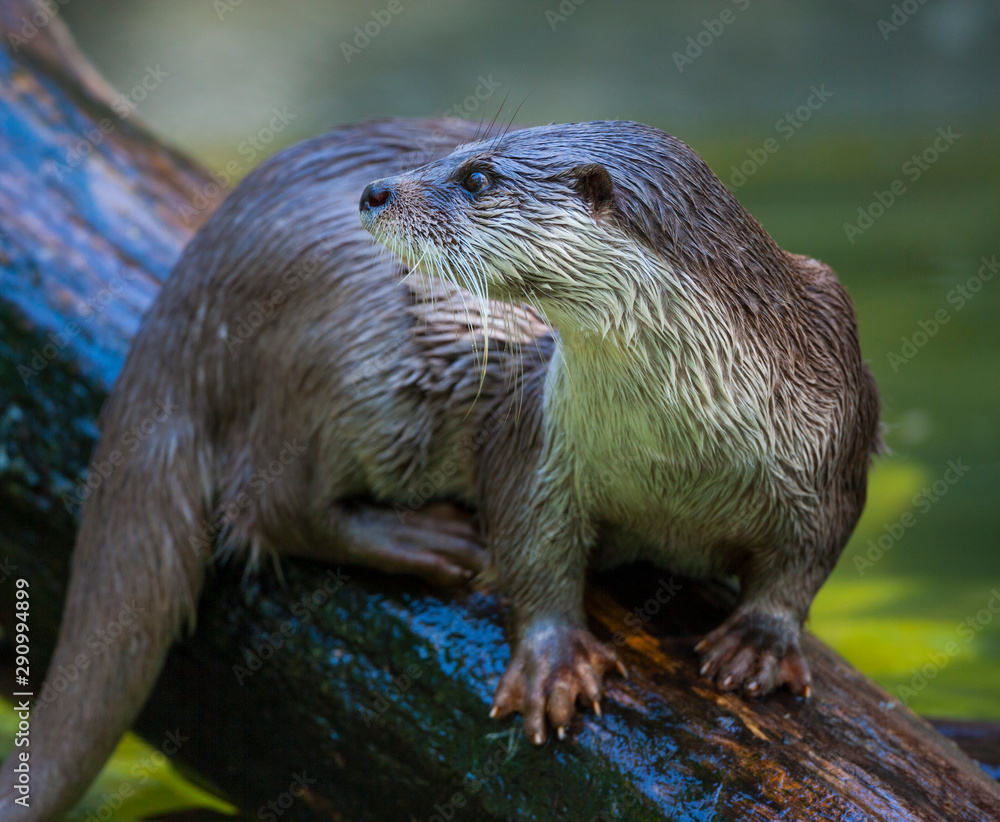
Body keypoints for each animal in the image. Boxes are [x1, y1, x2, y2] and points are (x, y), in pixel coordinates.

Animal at [0, 118, 879, 819]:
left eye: (478, 177)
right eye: (451, 155)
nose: (375, 189)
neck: (683, 448)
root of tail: (200, 275)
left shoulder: (833, 434)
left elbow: (810, 554)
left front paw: (761, 639)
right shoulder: (540, 442)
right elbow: (529, 539)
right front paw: (553, 659)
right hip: (349, 359)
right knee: (269, 503)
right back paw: (423, 541)